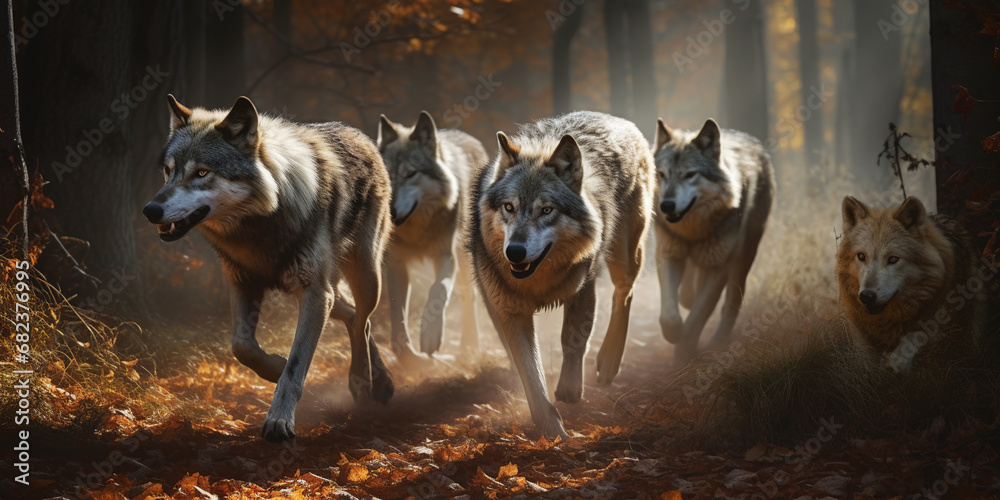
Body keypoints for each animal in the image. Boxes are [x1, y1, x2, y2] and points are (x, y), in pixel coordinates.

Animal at [142, 95, 395, 442]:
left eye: (202, 172)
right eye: (168, 172)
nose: (150, 210)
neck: (259, 226)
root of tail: (357, 133)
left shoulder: (314, 293)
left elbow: (296, 366)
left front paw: (279, 421)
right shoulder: (243, 282)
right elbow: (242, 346)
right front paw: (275, 365)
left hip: (366, 278)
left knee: (363, 320)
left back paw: (362, 379)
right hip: (332, 292)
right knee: (356, 316)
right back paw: (380, 381)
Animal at [377, 111, 488, 360]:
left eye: (410, 174)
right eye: (387, 176)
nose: (389, 212)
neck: (417, 231)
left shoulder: (446, 256)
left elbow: (438, 290)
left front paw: (430, 335)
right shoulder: (397, 264)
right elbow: (397, 312)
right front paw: (407, 356)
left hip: (465, 260)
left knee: (470, 298)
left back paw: (470, 345)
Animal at [468, 111, 656, 439]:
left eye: (546, 210)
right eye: (509, 207)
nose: (514, 252)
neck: (536, 282)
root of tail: (615, 118)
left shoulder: (584, 285)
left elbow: (573, 339)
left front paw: (569, 390)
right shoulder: (507, 308)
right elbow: (529, 370)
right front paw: (550, 427)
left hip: (623, 256)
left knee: (625, 293)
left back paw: (608, 362)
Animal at [652, 118, 774, 362]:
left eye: (690, 174)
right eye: (661, 174)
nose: (666, 205)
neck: (693, 233)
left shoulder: (719, 266)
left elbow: (699, 315)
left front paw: (685, 352)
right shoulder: (668, 253)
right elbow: (669, 313)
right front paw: (674, 333)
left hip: (743, 259)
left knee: (730, 305)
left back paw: (718, 343)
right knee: (689, 289)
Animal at [837, 196, 985, 373]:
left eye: (893, 259)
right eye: (861, 256)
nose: (867, 296)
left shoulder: (946, 320)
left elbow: (916, 333)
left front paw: (897, 361)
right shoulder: (860, 335)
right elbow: (865, 363)